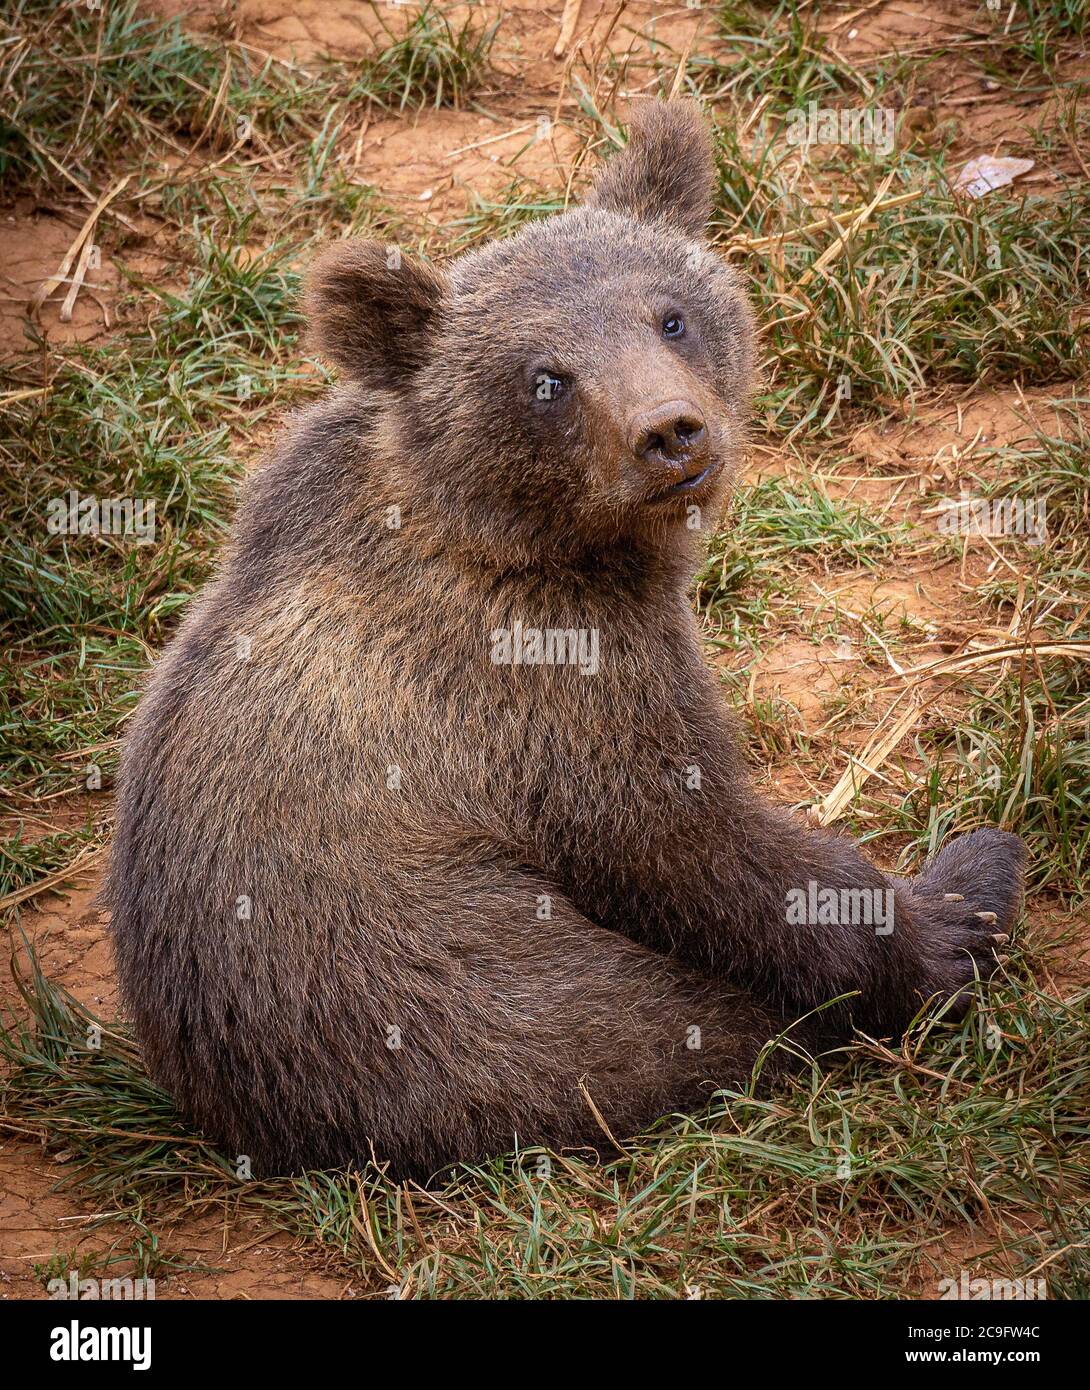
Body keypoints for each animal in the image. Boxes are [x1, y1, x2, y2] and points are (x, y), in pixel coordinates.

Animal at [106, 99, 1026, 1180]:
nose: (670, 432)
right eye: (547, 377)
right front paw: (954, 904)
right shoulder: (546, 682)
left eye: (669, 315)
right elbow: (690, 846)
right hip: (472, 1009)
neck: (540, 537)